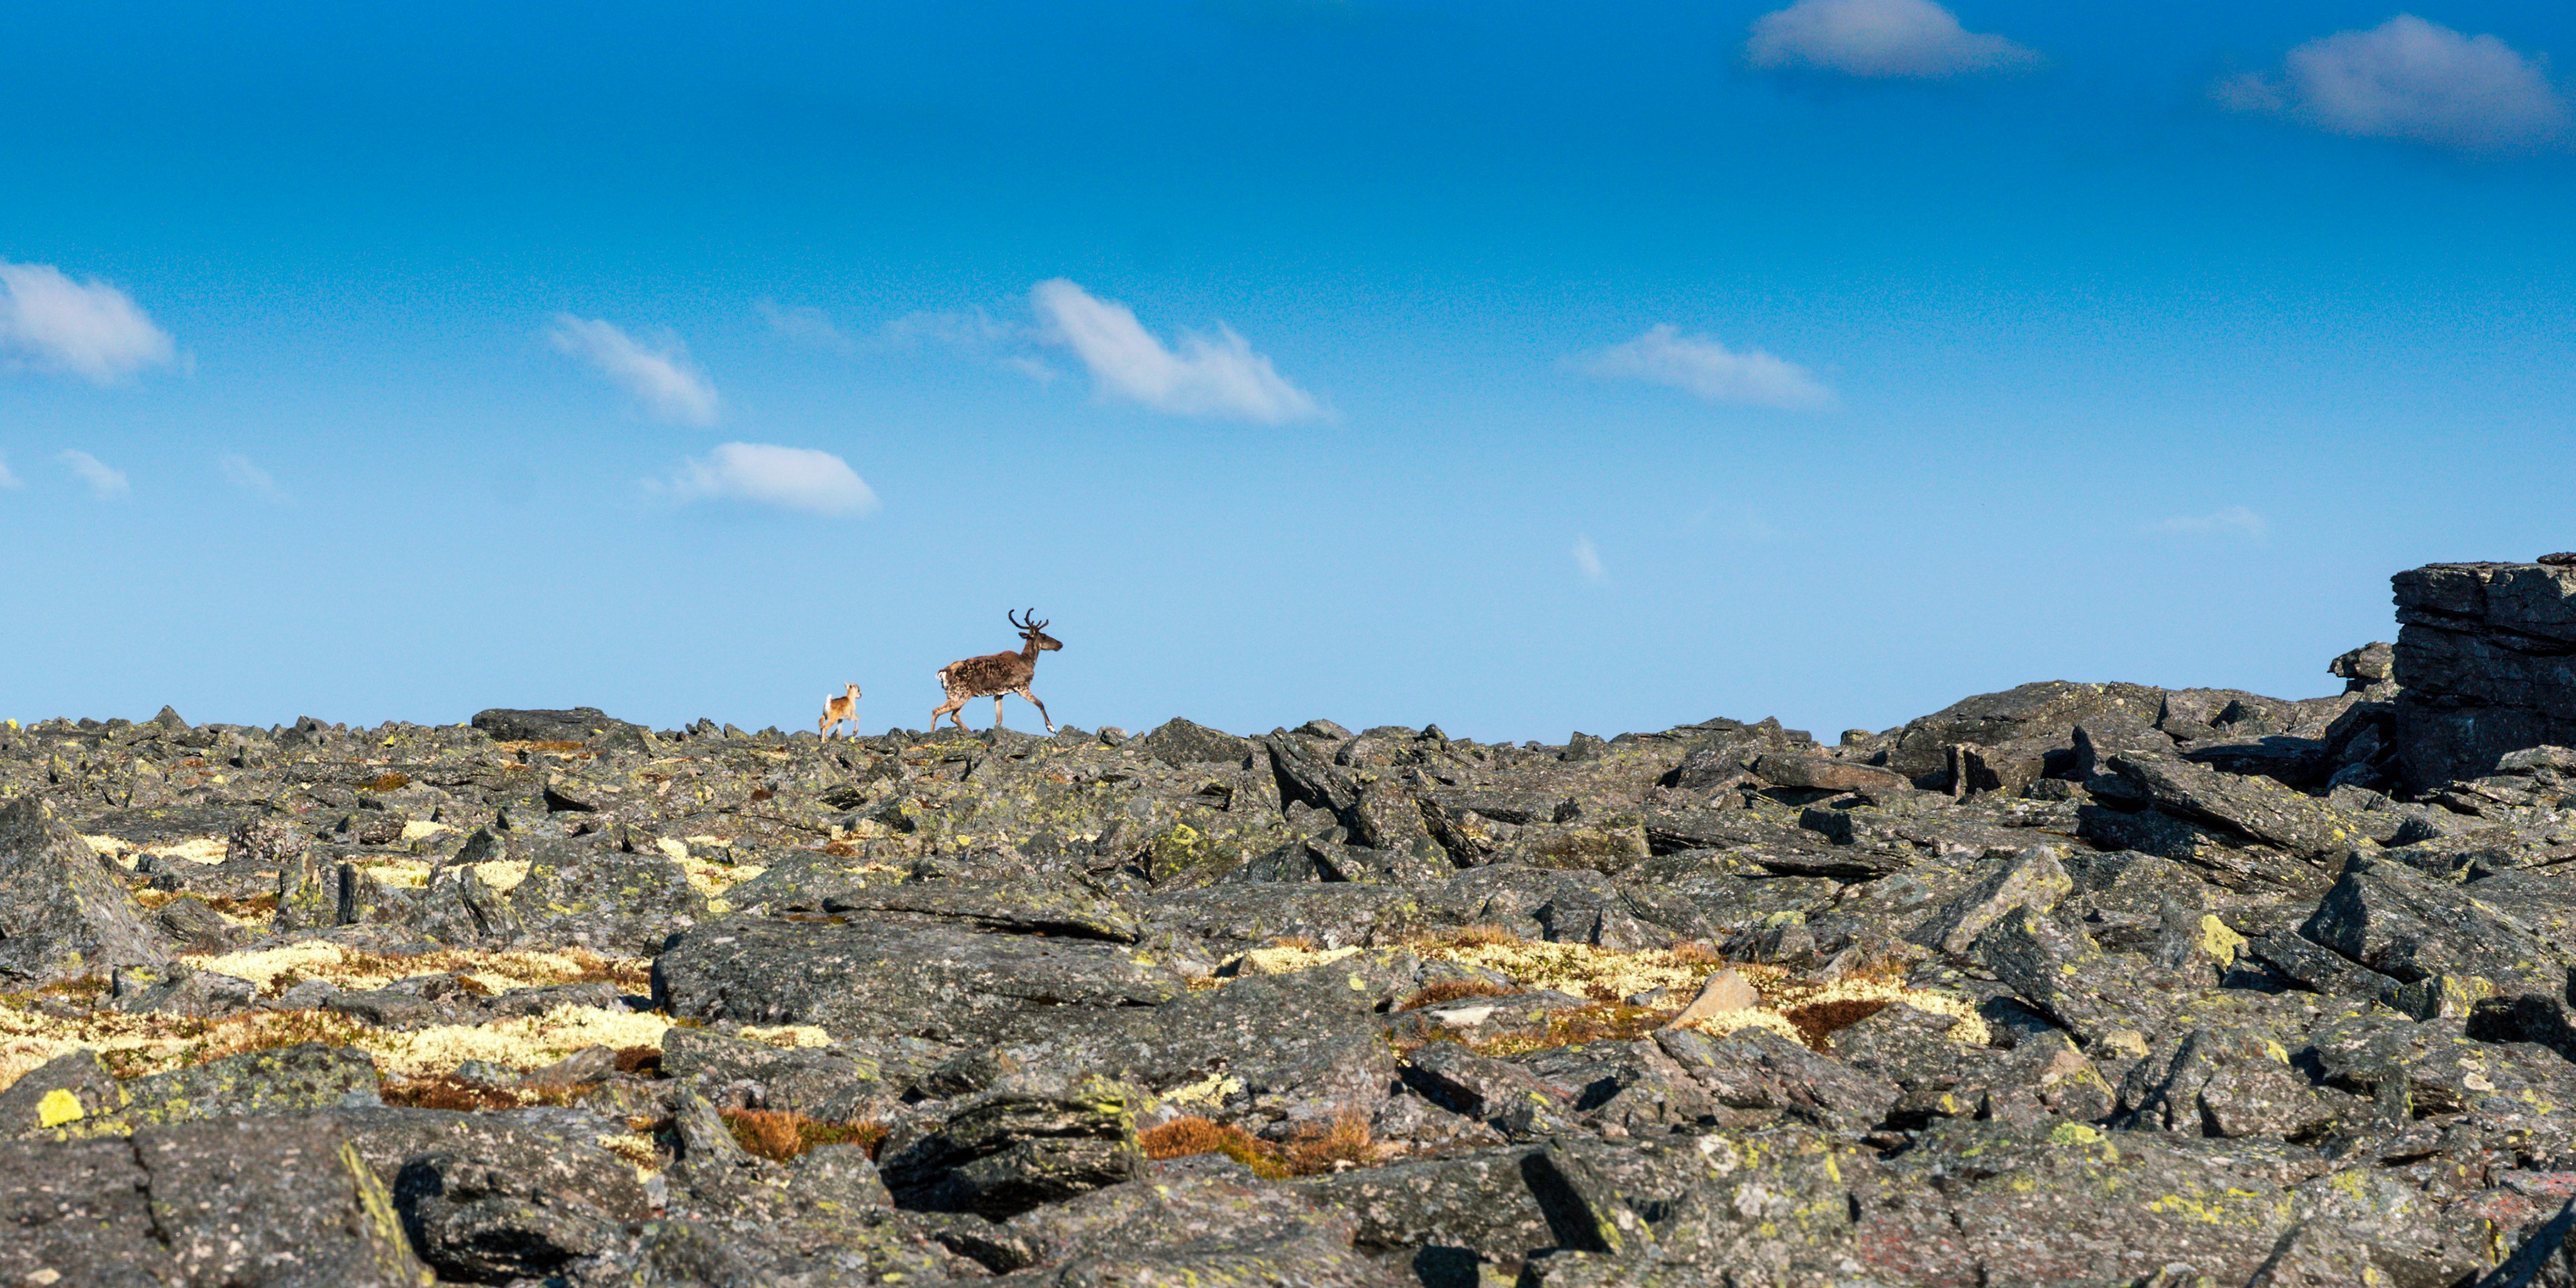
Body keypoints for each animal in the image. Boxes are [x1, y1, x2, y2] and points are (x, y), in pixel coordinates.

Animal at [933, 608, 1062, 733]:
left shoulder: (999, 694)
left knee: (954, 716)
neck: (1028, 661)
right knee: (937, 711)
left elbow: (999, 720)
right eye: (1044, 636)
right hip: (959, 694)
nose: (1060, 644)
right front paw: (1051, 728)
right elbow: (1040, 703)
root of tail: (943, 673)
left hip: (958, 695)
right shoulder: (1022, 687)